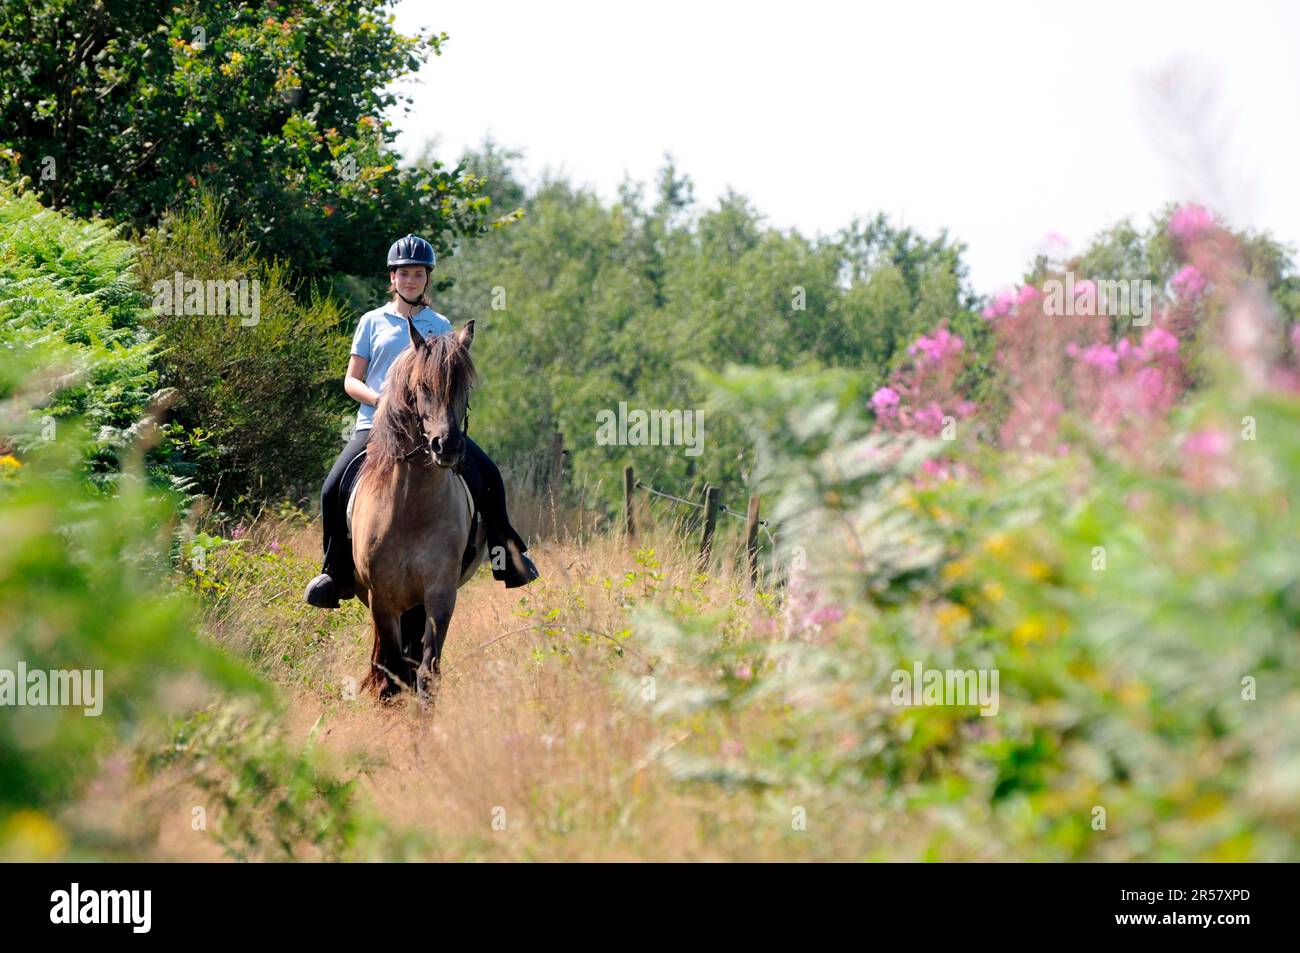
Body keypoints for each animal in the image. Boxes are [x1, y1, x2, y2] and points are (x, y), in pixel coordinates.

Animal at [350, 317, 487, 701]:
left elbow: (426, 673)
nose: (447, 446)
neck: (410, 508)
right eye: (422, 385)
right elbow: (392, 673)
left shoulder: (439, 594)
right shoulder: (382, 599)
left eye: (463, 385)